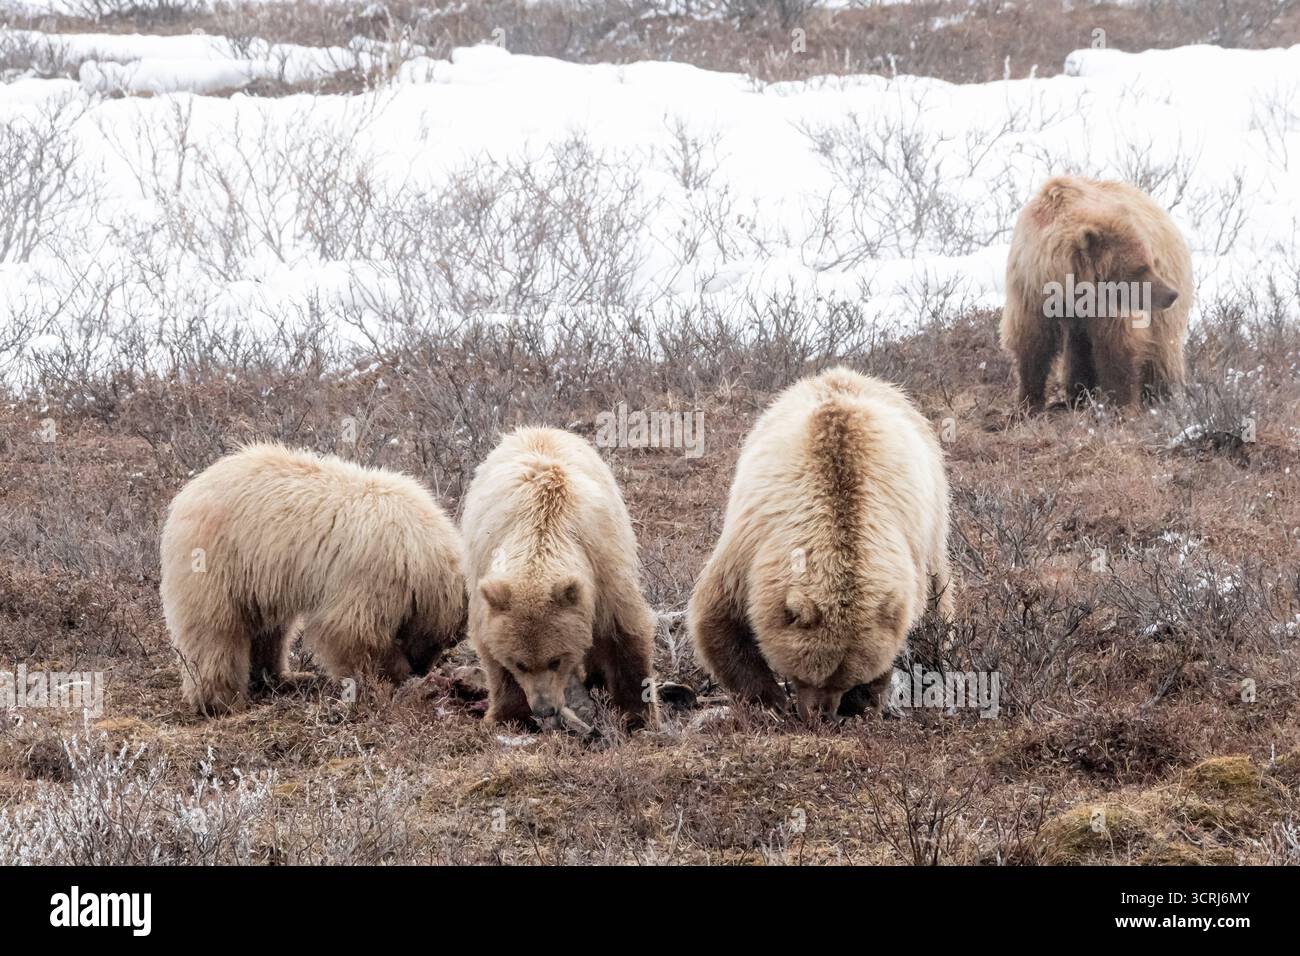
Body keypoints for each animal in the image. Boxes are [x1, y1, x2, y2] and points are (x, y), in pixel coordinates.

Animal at [159, 443, 466, 714]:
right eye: (445, 640)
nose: (423, 669)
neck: (419, 550)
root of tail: (190, 491)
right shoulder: (374, 573)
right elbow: (350, 630)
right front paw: (390, 676)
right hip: (219, 559)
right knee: (215, 629)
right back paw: (218, 700)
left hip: (262, 576)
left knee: (271, 630)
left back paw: (281, 677)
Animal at [461, 427, 658, 730]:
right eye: (520, 663)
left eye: (555, 660)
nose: (544, 708)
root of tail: (539, 428)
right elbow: (491, 648)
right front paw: (507, 715)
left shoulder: (603, 565)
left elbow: (624, 630)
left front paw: (638, 713)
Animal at [688, 367, 952, 721]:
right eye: (808, 673)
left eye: (844, 679)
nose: (821, 715)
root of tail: (841, 373)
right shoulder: (751, 547)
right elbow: (718, 615)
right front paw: (769, 699)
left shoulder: (905, 554)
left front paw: (865, 699)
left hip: (935, 519)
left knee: (939, 594)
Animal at [1000, 175, 1192, 412]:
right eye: (1141, 268)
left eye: (1150, 262)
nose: (1170, 294)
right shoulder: (1030, 289)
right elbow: (1032, 341)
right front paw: (1027, 403)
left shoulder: (1110, 304)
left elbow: (1116, 345)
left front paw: (1120, 404)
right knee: (1079, 350)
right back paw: (1076, 396)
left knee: (1162, 351)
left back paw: (1162, 396)